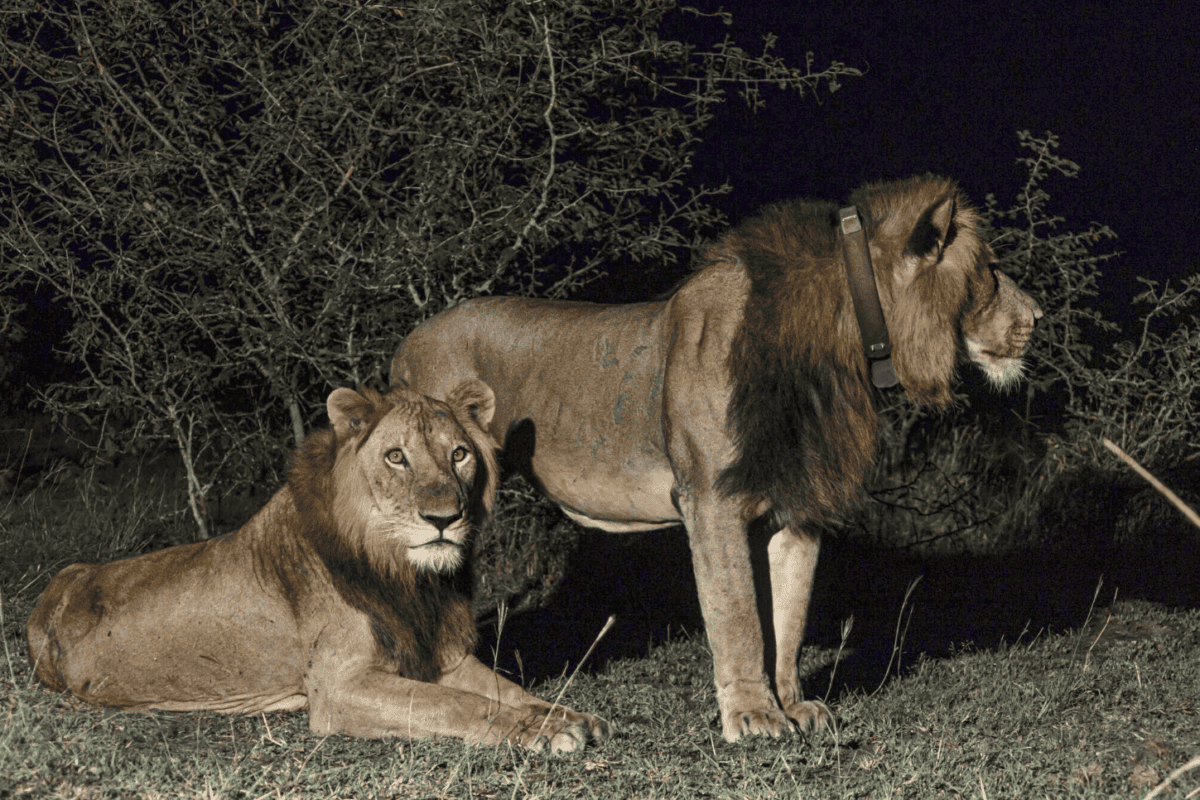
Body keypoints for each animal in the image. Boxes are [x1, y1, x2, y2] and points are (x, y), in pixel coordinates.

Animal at [27, 382, 610, 752]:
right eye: (396, 457)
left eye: (460, 455)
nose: (444, 518)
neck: (405, 576)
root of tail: (55, 591)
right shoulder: (338, 687)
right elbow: (456, 706)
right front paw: (540, 731)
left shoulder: (438, 655)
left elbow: (505, 689)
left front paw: (564, 716)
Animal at [389, 175, 1042, 742]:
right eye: (990, 270)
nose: (1037, 317)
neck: (838, 346)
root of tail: (408, 341)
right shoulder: (711, 499)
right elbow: (739, 617)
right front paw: (753, 717)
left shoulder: (799, 504)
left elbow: (789, 616)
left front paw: (793, 706)